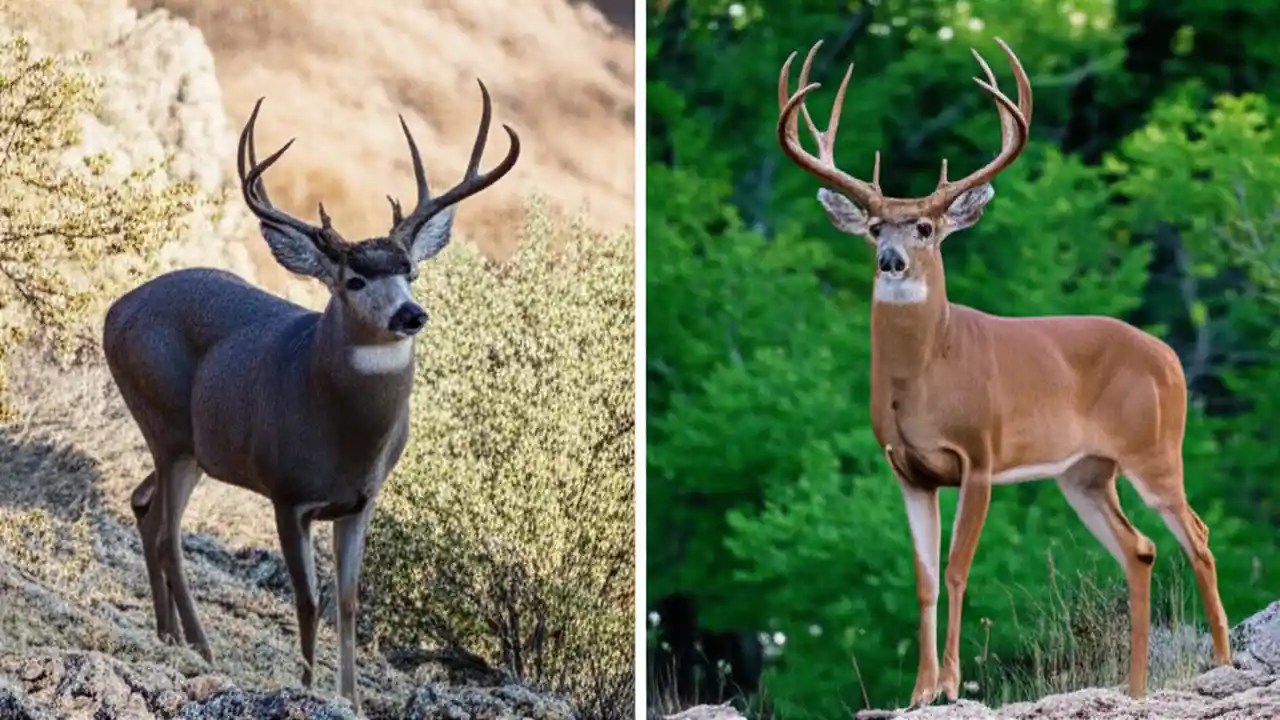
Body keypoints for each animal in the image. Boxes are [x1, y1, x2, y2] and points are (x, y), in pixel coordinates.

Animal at [102, 80, 519, 713]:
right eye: (354, 279)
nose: (411, 314)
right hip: (164, 422)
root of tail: (114, 310)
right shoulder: (287, 491)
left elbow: (348, 602)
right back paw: (202, 647)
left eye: (412, 272)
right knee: (171, 536)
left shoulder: (360, 500)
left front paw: (353, 699)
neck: (344, 435)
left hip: (196, 448)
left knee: (145, 508)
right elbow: (308, 599)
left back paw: (168, 635)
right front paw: (304, 688)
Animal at [775, 38, 1232, 707]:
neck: (922, 380)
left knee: (1196, 535)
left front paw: (950, 683)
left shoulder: (980, 454)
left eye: (925, 227)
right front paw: (917, 691)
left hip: (1153, 449)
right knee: (1141, 548)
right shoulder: (907, 469)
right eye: (874, 227)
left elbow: (958, 567)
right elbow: (923, 577)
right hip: (1085, 473)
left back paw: (1222, 663)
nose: (891, 260)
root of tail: (1170, 358)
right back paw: (1133, 688)